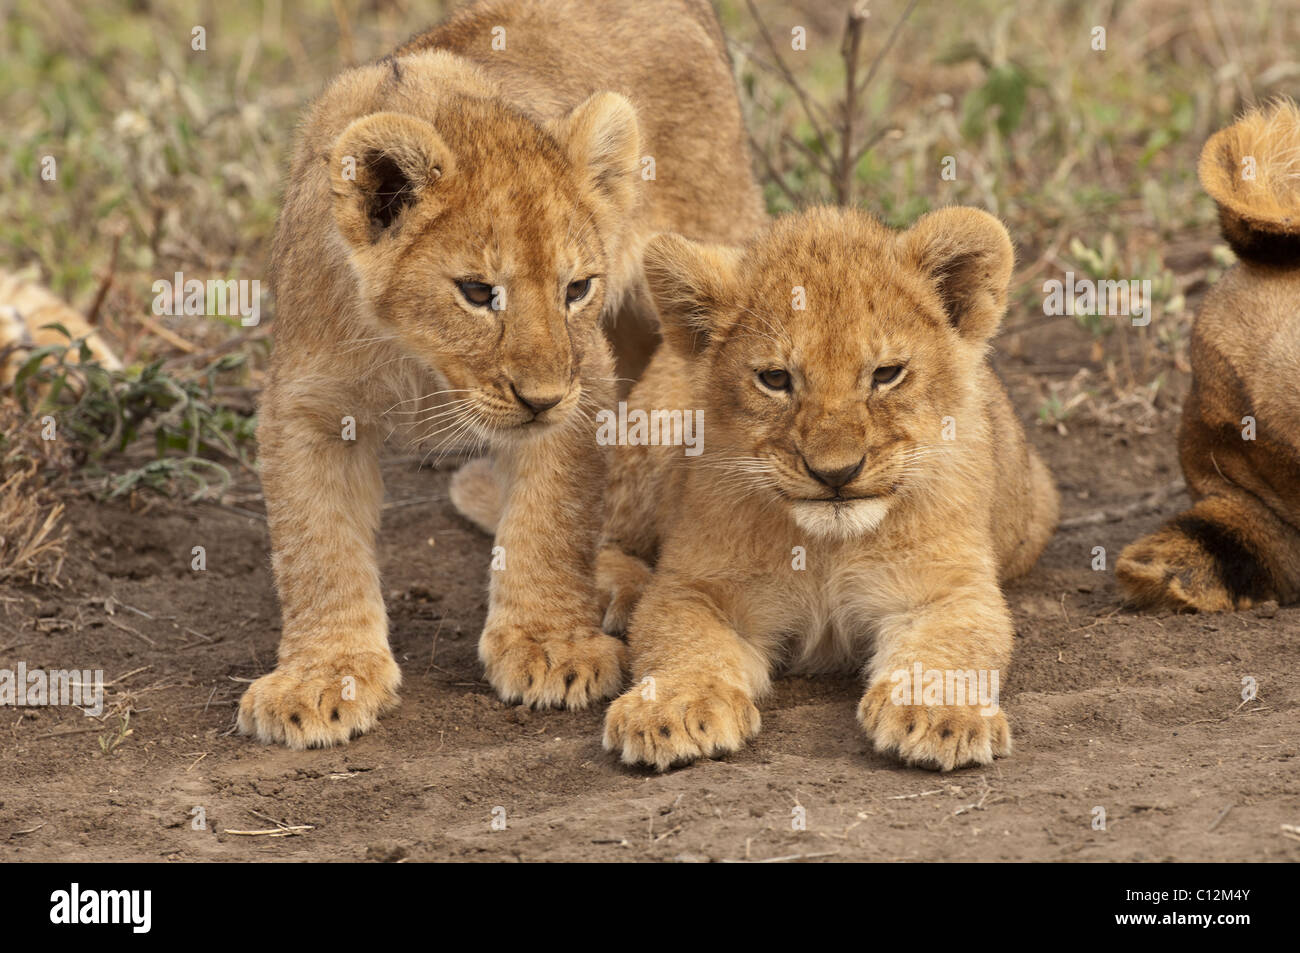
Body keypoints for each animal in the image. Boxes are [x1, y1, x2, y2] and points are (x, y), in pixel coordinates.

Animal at [237, 0, 764, 748]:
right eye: (478, 292)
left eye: (577, 289)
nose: (539, 399)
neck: (419, 357)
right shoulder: (306, 401)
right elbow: (316, 541)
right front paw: (324, 675)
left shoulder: (581, 380)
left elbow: (552, 517)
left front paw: (551, 645)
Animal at [595, 206, 1059, 771]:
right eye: (775, 379)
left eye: (887, 374)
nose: (835, 473)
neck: (826, 549)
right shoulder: (694, 587)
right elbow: (681, 642)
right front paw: (674, 708)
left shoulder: (949, 588)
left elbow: (953, 648)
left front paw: (938, 714)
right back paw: (617, 592)